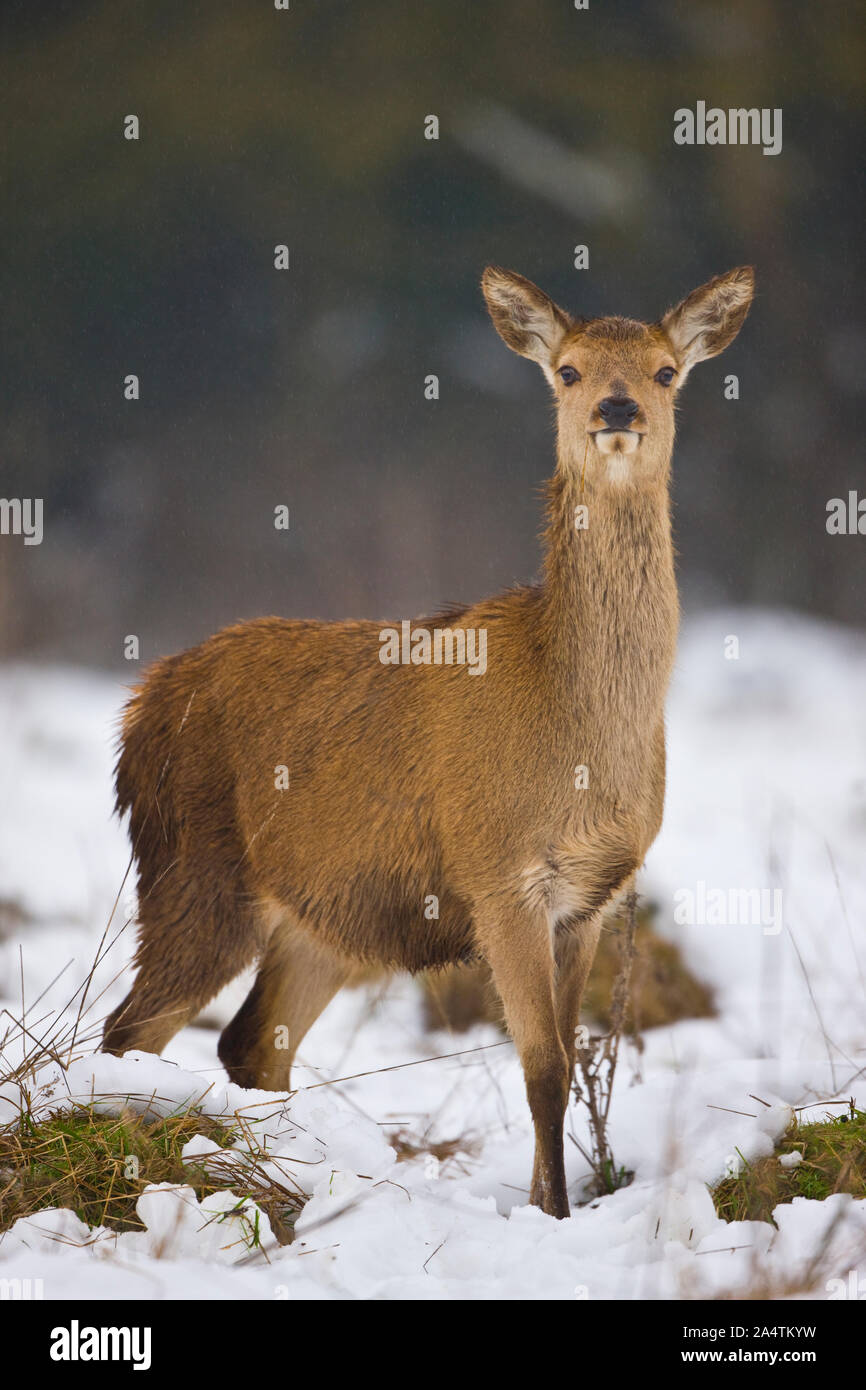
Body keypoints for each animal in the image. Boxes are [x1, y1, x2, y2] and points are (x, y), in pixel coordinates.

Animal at [103, 264, 754, 1218]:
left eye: (667, 370)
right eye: (567, 368)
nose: (619, 407)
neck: (577, 731)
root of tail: (140, 706)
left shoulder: (591, 898)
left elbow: (565, 1059)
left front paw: (547, 1203)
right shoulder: (499, 873)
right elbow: (543, 1067)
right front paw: (554, 1215)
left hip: (320, 918)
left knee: (251, 1044)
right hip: (193, 869)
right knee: (129, 1032)